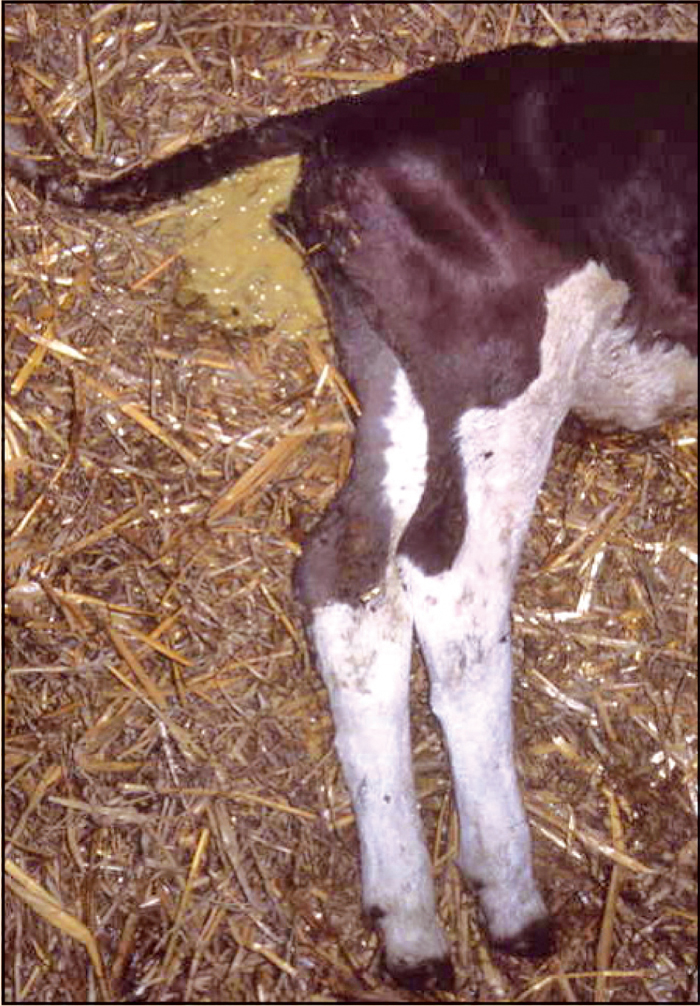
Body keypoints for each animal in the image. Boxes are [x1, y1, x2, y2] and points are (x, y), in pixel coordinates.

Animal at [23, 40, 698, 990]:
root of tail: (354, 113)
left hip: (399, 370)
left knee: (349, 568)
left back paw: (409, 921)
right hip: (512, 342)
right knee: (450, 573)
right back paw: (508, 895)